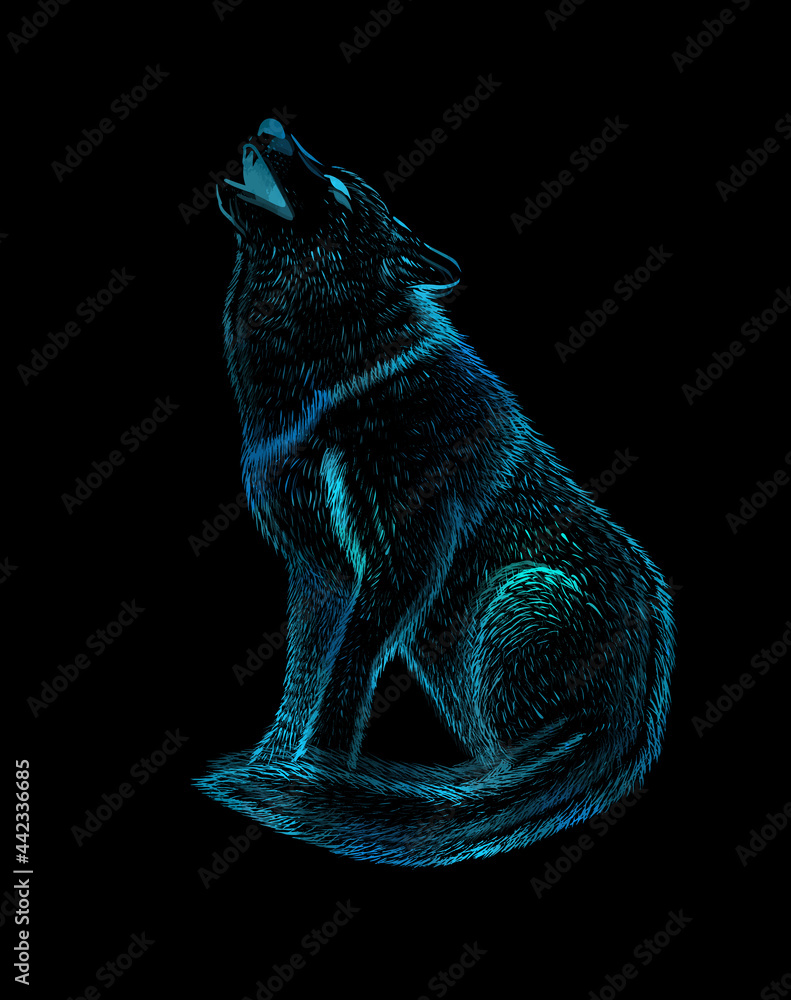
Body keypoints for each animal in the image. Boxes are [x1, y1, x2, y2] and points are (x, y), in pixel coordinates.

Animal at [194, 116, 676, 867]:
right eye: (316, 163)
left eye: (334, 186)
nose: (271, 126)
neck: (334, 386)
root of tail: (644, 702)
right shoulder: (318, 568)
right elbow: (302, 681)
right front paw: (273, 763)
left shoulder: (406, 552)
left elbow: (346, 676)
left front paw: (319, 774)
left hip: (516, 599)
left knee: (512, 775)